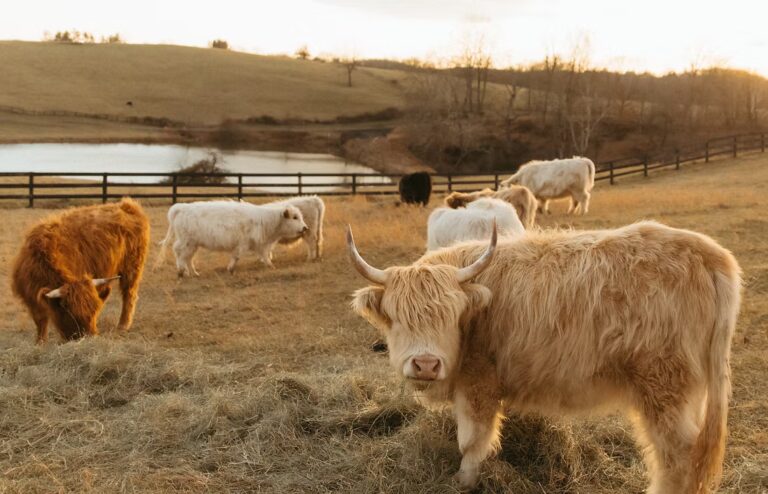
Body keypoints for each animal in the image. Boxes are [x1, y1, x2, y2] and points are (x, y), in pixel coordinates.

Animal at [11, 198, 150, 343]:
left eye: (92, 312)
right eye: (72, 315)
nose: (91, 337)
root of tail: (126, 205)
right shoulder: (30, 296)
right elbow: (40, 320)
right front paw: (40, 342)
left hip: (132, 267)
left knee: (129, 294)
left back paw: (123, 325)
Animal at [158, 200, 308, 277]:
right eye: (295, 217)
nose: (305, 228)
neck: (266, 220)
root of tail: (181, 207)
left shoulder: (261, 245)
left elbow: (265, 256)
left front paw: (271, 266)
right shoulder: (243, 244)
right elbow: (236, 256)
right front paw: (230, 269)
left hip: (193, 244)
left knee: (188, 257)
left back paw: (193, 272)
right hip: (186, 242)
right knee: (178, 253)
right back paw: (181, 271)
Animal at [346, 221, 741, 494]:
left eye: (450, 315)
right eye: (399, 317)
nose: (426, 364)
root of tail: (706, 252)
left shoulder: (478, 383)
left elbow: (472, 440)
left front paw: (464, 480)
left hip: (663, 386)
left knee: (677, 457)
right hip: (691, 390)